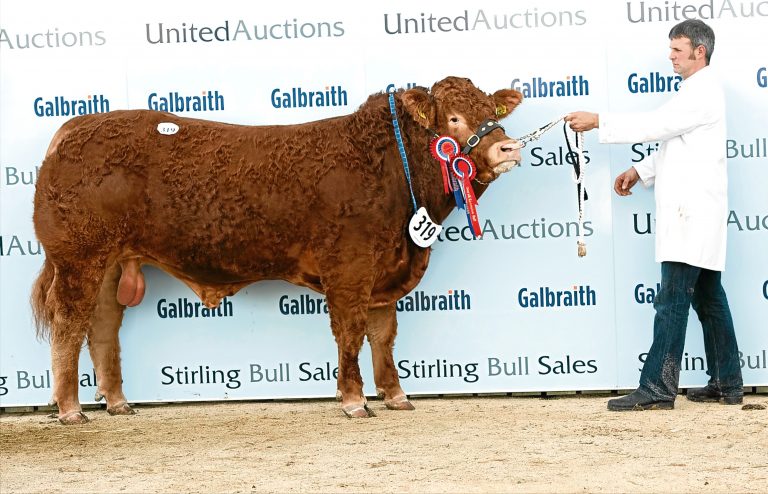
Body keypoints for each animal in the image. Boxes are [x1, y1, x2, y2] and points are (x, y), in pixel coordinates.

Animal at [31, 76, 523, 424]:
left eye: (491, 110)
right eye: (454, 119)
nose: (508, 147)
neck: (388, 168)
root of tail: (75, 127)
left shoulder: (384, 268)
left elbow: (383, 334)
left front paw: (396, 395)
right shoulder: (349, 268)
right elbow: (350, 332)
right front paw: (353, 400)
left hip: (112, 263)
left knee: (102, 325)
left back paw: (117, 402)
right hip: (79, 258)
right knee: (69, 324)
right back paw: (70, 409)